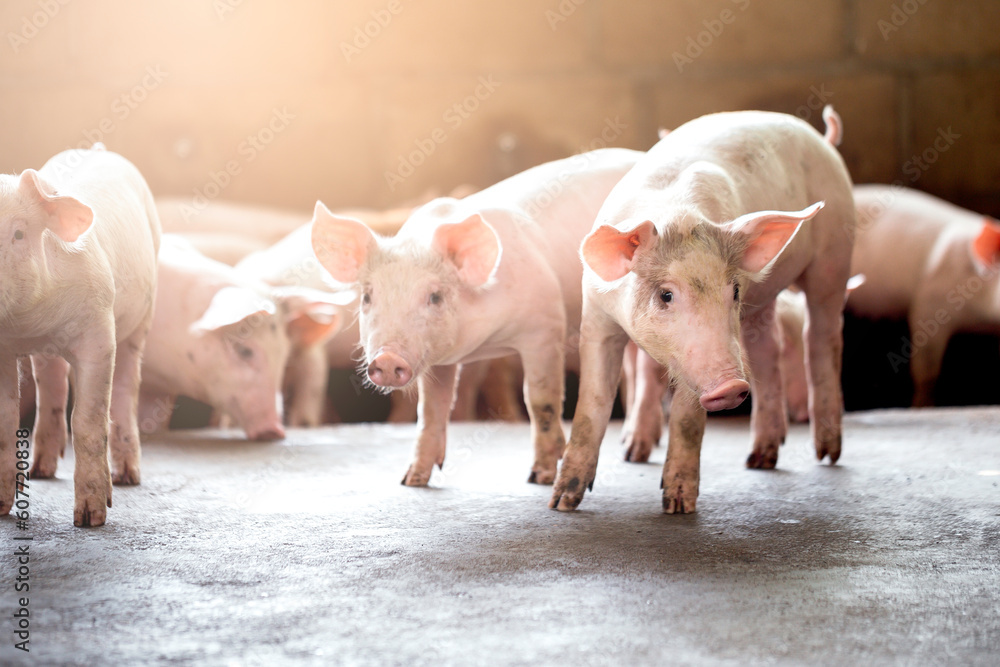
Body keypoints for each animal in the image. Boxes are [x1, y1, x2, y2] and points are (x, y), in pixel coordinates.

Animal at [0, 145, 160, 526]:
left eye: (19, 234)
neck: (30, 323)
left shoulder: (99, 329)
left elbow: (87, 419)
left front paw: (90, 519)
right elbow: (6, 420)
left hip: (143, 316)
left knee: (126, 387)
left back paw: (127, 477)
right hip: (47, 360)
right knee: (52, 385)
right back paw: (41, 471)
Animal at [311, 148, 643, 486]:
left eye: (435, 296)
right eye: (367, 297)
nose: (388, 359)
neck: (486, 344)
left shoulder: (546, 325)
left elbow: (540, 401)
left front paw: (539, 477)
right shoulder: (439, 360)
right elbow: (431, 409)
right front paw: (412, 480)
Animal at [551, 106, 855, 514]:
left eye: (734, 290)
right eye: (665, 295)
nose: (731, 387)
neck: (675, 212)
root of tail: (823, 140)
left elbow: (686, 417)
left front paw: (678, 507)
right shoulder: (596, 315)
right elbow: (593, 402)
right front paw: (562, 503)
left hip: (834, 257)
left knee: (822, 338)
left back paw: (825, 455)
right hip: (764, 304)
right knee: (767, 351)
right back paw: (757, 460)